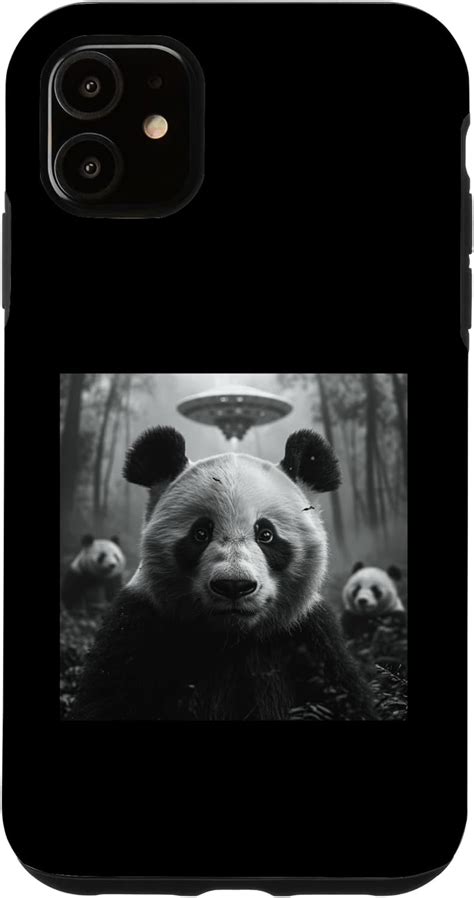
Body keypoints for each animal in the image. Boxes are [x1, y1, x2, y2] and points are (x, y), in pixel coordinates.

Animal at [71, 427, 375, 721]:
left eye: (266, 534)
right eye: (200, 533)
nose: (234, 585)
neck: (231, 638)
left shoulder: (309, 639)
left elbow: (340, 696)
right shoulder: (139, 626)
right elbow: (107, 696)